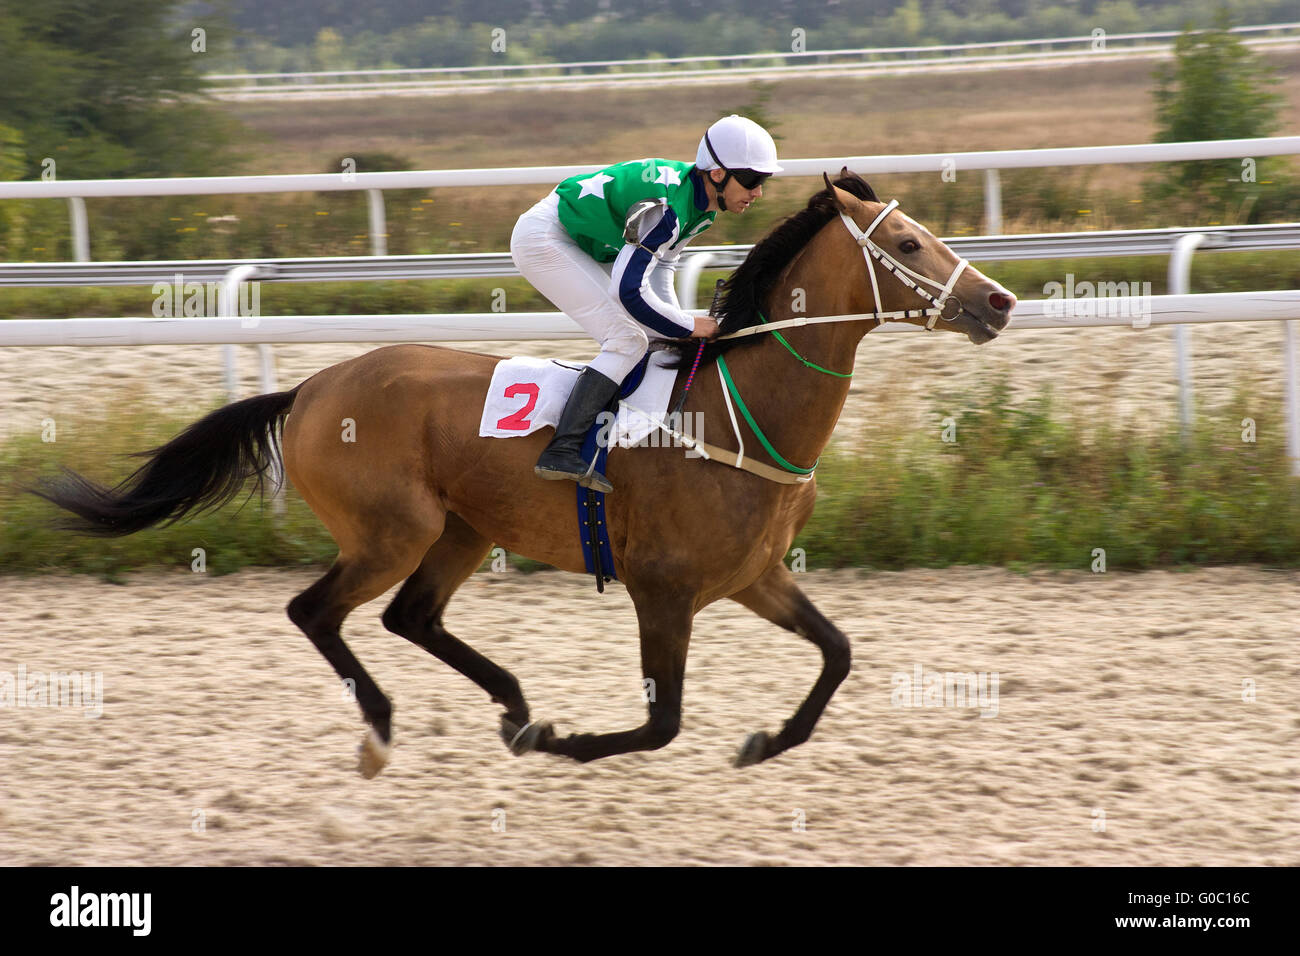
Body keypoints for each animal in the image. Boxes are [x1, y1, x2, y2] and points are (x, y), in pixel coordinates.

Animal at [34, 169, 1015, 778]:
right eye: (910, 244)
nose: (1000, 301)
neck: (743, 411)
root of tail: (311, 387)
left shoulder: (754, 575)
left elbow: (838, 654)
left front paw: (765, 742)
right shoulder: (662, 589)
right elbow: (661, 722)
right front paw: (567, 742)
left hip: (461, 530)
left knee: (409, 616)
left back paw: (511, 704)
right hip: (394, 531)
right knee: (317, 612)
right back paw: (387, 731)